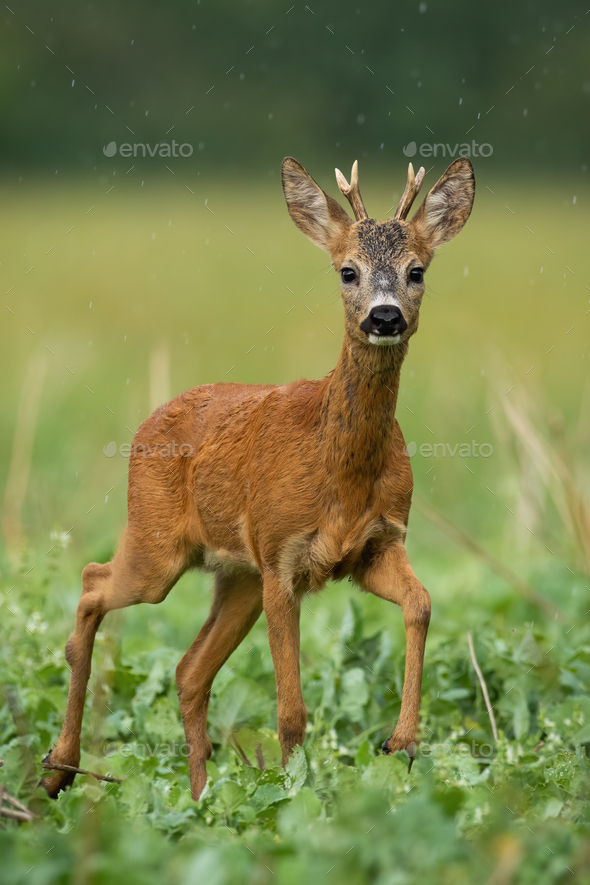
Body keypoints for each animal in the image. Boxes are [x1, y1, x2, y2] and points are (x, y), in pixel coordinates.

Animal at [41, 155, 475, 802]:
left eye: (416, 270)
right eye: (347, 271)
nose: (385, 316)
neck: (344, 478)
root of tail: (147, 421)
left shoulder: (376, 545)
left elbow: (421, 603)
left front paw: (400, 742)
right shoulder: (280, 557)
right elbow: (290, 709)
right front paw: (294, 793)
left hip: (235, 575)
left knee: (189, 670)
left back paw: (199, 799)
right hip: (158, 545)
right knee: (94, 583)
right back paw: (59, 768)